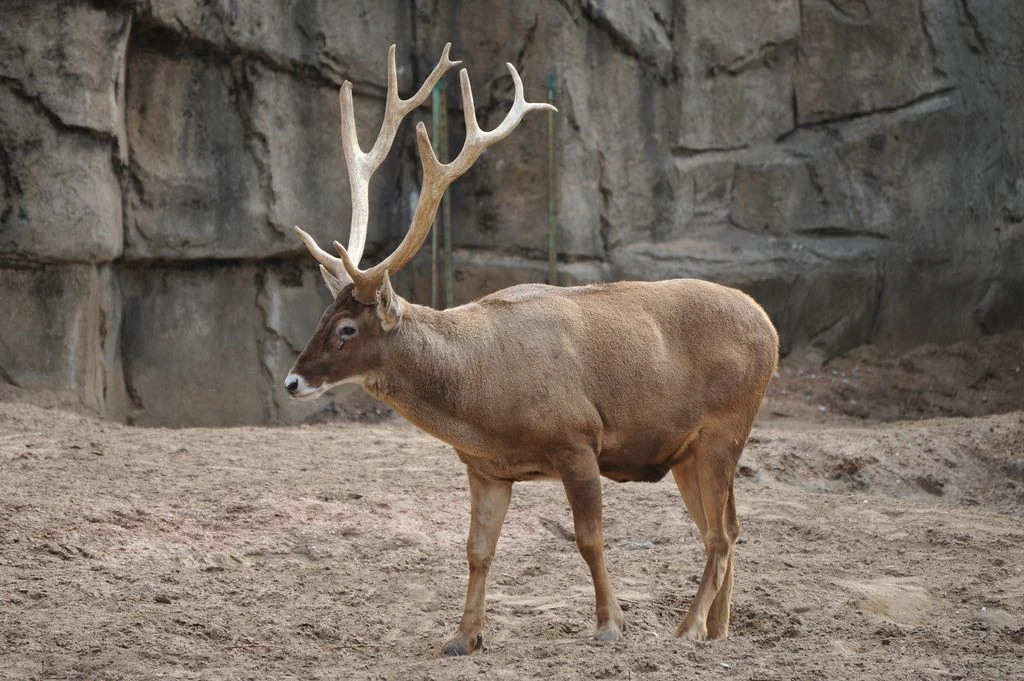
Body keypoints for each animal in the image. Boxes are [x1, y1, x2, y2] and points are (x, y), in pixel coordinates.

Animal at [283, 44, 779, 656]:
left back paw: (685, 629)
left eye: (348, 329)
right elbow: (477, 551)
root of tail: (771, 329)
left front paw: (610, 625)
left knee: (720, 534)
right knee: (726, 528)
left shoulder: (577, 439)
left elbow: (590, 539)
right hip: (688, 450)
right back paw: (717, 632)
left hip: (723, 429)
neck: (484, 402)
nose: (293, 381)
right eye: (322, 315)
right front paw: (462, 637)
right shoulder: (486, 469)